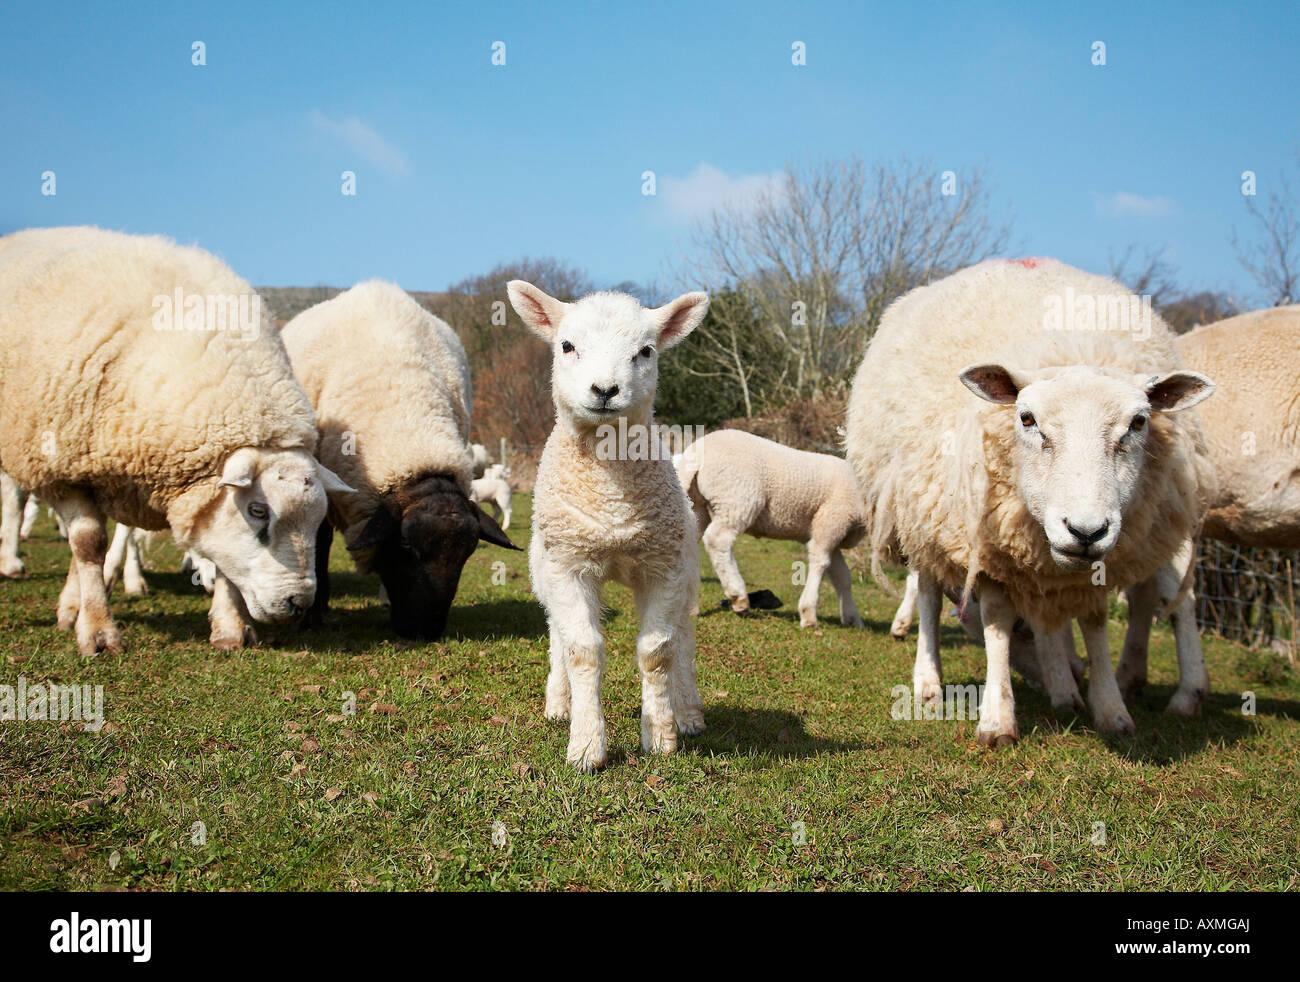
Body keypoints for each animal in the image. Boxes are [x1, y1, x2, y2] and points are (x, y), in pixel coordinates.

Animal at [0, 226, 353, 654]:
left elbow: (220, 555)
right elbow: (88, 542)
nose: (297, 603)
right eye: (258, 511)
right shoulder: (63, 470)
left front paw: (231, 628)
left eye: (318, 519)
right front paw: (99, 632)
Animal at [507, 279, 709, 772]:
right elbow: (582, 650)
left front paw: (661, 736)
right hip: (547, 569)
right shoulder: (569, 564)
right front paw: (586, 746)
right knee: (558, 635)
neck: (612, 506)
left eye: (646, 351)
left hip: (688, 567)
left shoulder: (663, 566)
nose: (604, 389)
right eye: (566, 346)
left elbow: (657, 652)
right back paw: (560, 703)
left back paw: (688, 711)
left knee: (684, 636)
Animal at [674, 429, 865, 628]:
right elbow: (820, 562)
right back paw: (738, 597)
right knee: (717, 540)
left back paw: (690, 606)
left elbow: (842, 577)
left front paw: (853, 619)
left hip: (698, 505)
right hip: (737, 498)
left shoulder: (835, 533)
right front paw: (809, 615)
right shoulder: (831, 520)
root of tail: (694, 454)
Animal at [846, 258, 1215, 746]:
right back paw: (928, 679)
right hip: (921, 516)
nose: (1085, 530)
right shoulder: (987, 548)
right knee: (926, 594)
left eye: (1139, 422)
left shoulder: (1090, 563)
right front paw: (997, 718)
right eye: (1026, 418)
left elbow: (1093, 622)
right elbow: (997, 621)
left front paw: (1109, 708)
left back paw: (1064, 684)